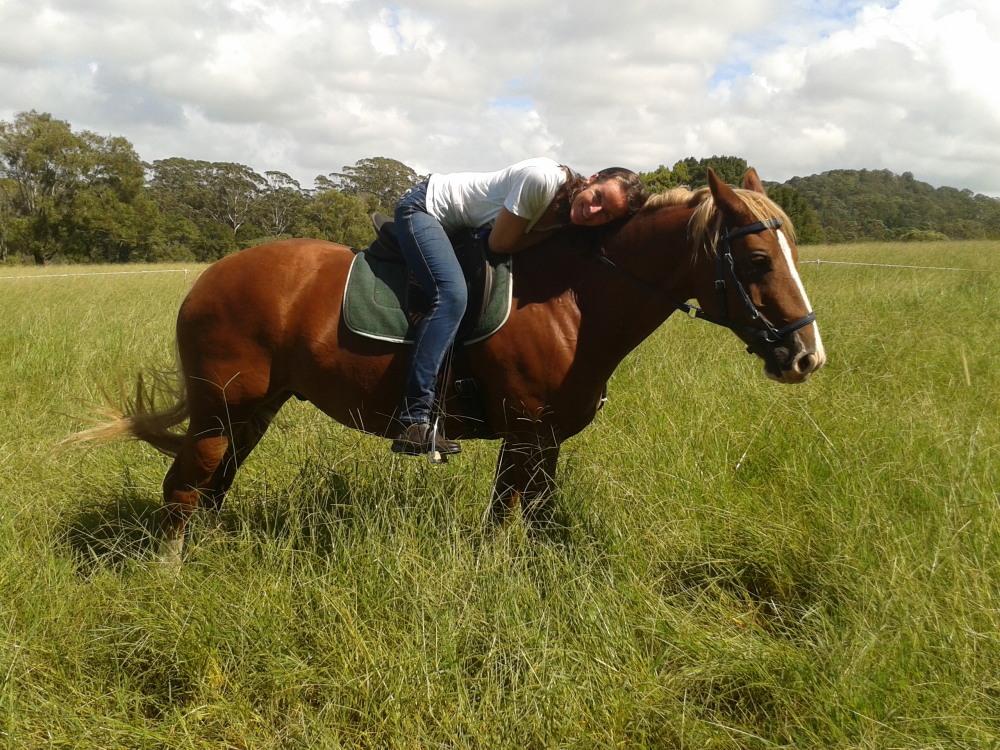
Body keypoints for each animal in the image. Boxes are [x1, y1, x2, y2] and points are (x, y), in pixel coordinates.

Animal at [77, 168, 825, 563]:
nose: (806, 356)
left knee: (213, 486)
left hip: (251, 411)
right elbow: (503, 520)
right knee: (184, 489)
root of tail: (206, 279)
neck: (572, 301)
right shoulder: (524, 434)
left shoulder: (545, 440)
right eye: (758, 260)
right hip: (220, 409)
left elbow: (536, 517)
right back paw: (171, 575)